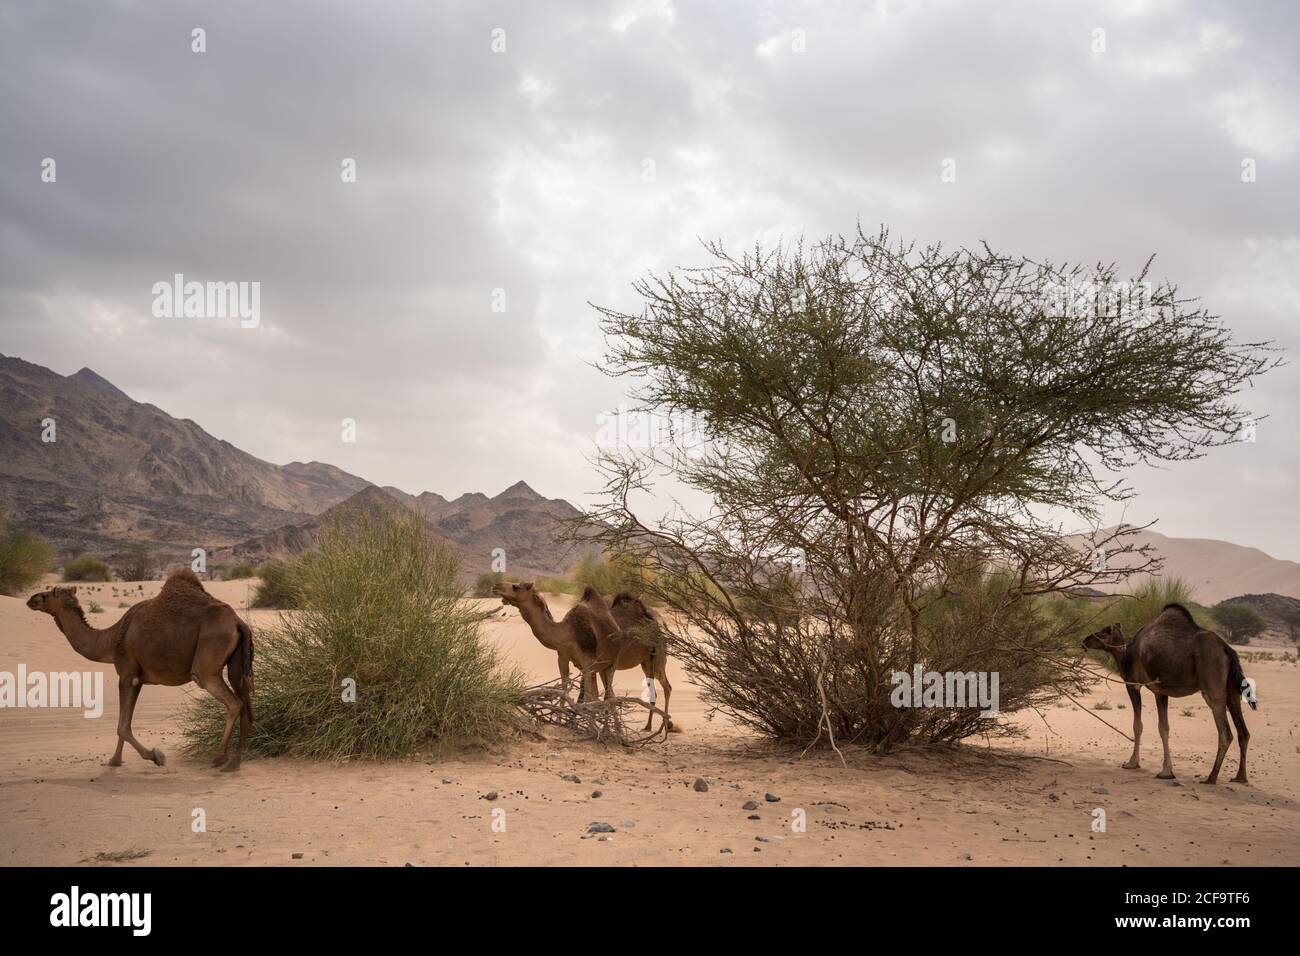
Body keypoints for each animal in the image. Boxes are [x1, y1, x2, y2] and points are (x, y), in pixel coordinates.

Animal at [26, 569, 254, 772]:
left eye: (46, 594)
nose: (30, 599)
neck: (111, 639)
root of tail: (238, 622)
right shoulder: (139, 679)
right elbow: (125, 723)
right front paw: (114, 761)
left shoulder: (126, 674)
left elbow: (122, 726)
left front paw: (156, 756)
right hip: (236, 665)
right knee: (244, 701)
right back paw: (235, 762)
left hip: (205, 668)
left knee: (234, 703)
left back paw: (220, 757)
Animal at [1083, 603, 1255, 784]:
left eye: (1101, 633)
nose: (1084, 641)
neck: (1125, 659)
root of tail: (1228, 650)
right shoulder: (1161, 691)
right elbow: (1164, 727)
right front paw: (1167, 771)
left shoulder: (1134, 684)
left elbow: (1138, 725)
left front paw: (1132, 763)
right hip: (1232, 689)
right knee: (1243, 732)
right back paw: (1240, 777)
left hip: (1212, 687)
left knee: (1225, 733)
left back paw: (1211, 777)